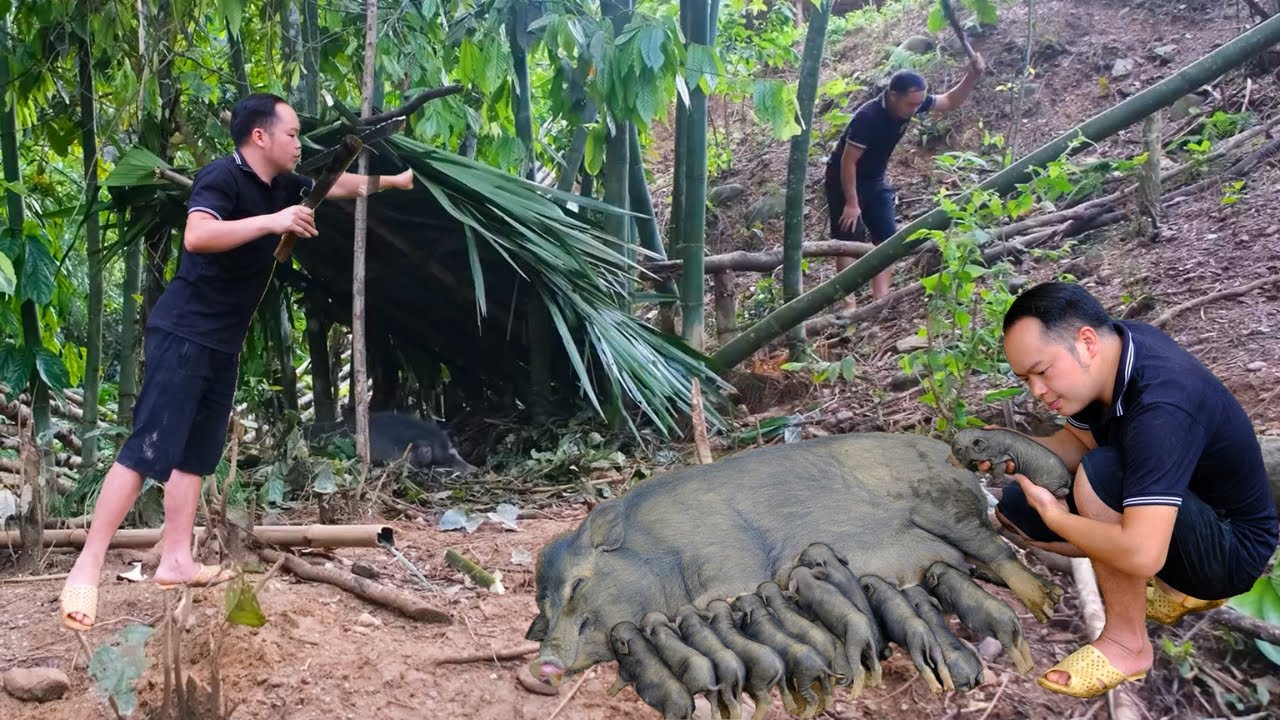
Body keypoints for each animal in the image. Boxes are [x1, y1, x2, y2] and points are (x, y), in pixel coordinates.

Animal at [786, 566, 882, 695]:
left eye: (791, 575)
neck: (811, 583)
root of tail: (866, 634)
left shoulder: (810, 611)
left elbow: (804, 613)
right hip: (870, 647)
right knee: (876, 665)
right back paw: (875, 684)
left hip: (853, 644)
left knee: (859, 670)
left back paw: (852, 696)